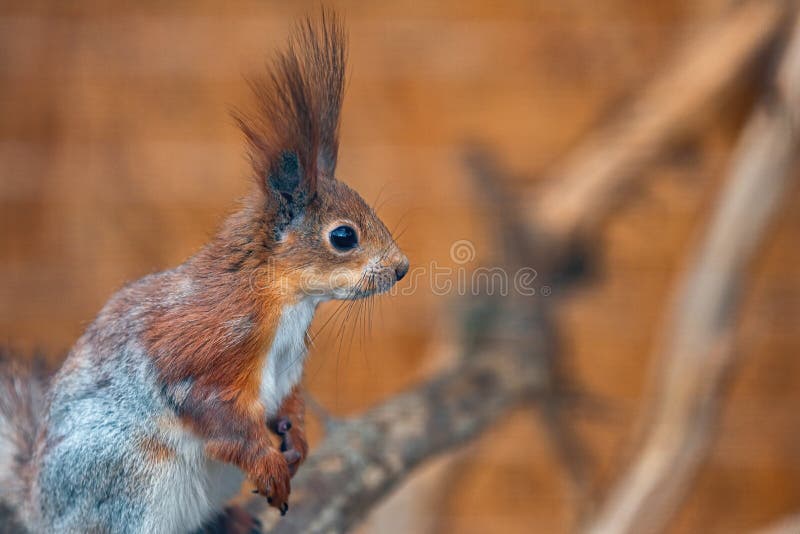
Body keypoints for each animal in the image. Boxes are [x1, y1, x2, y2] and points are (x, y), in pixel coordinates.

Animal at [0, 10, 408, 534]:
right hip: (133, 483)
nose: (401, 269)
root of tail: (41, 510)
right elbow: (217, 418)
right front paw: (270, 463)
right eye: (343, 236)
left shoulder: (287, 371)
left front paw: (296, 438)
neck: (285, 303)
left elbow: (289, 402)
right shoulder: (199, 349)